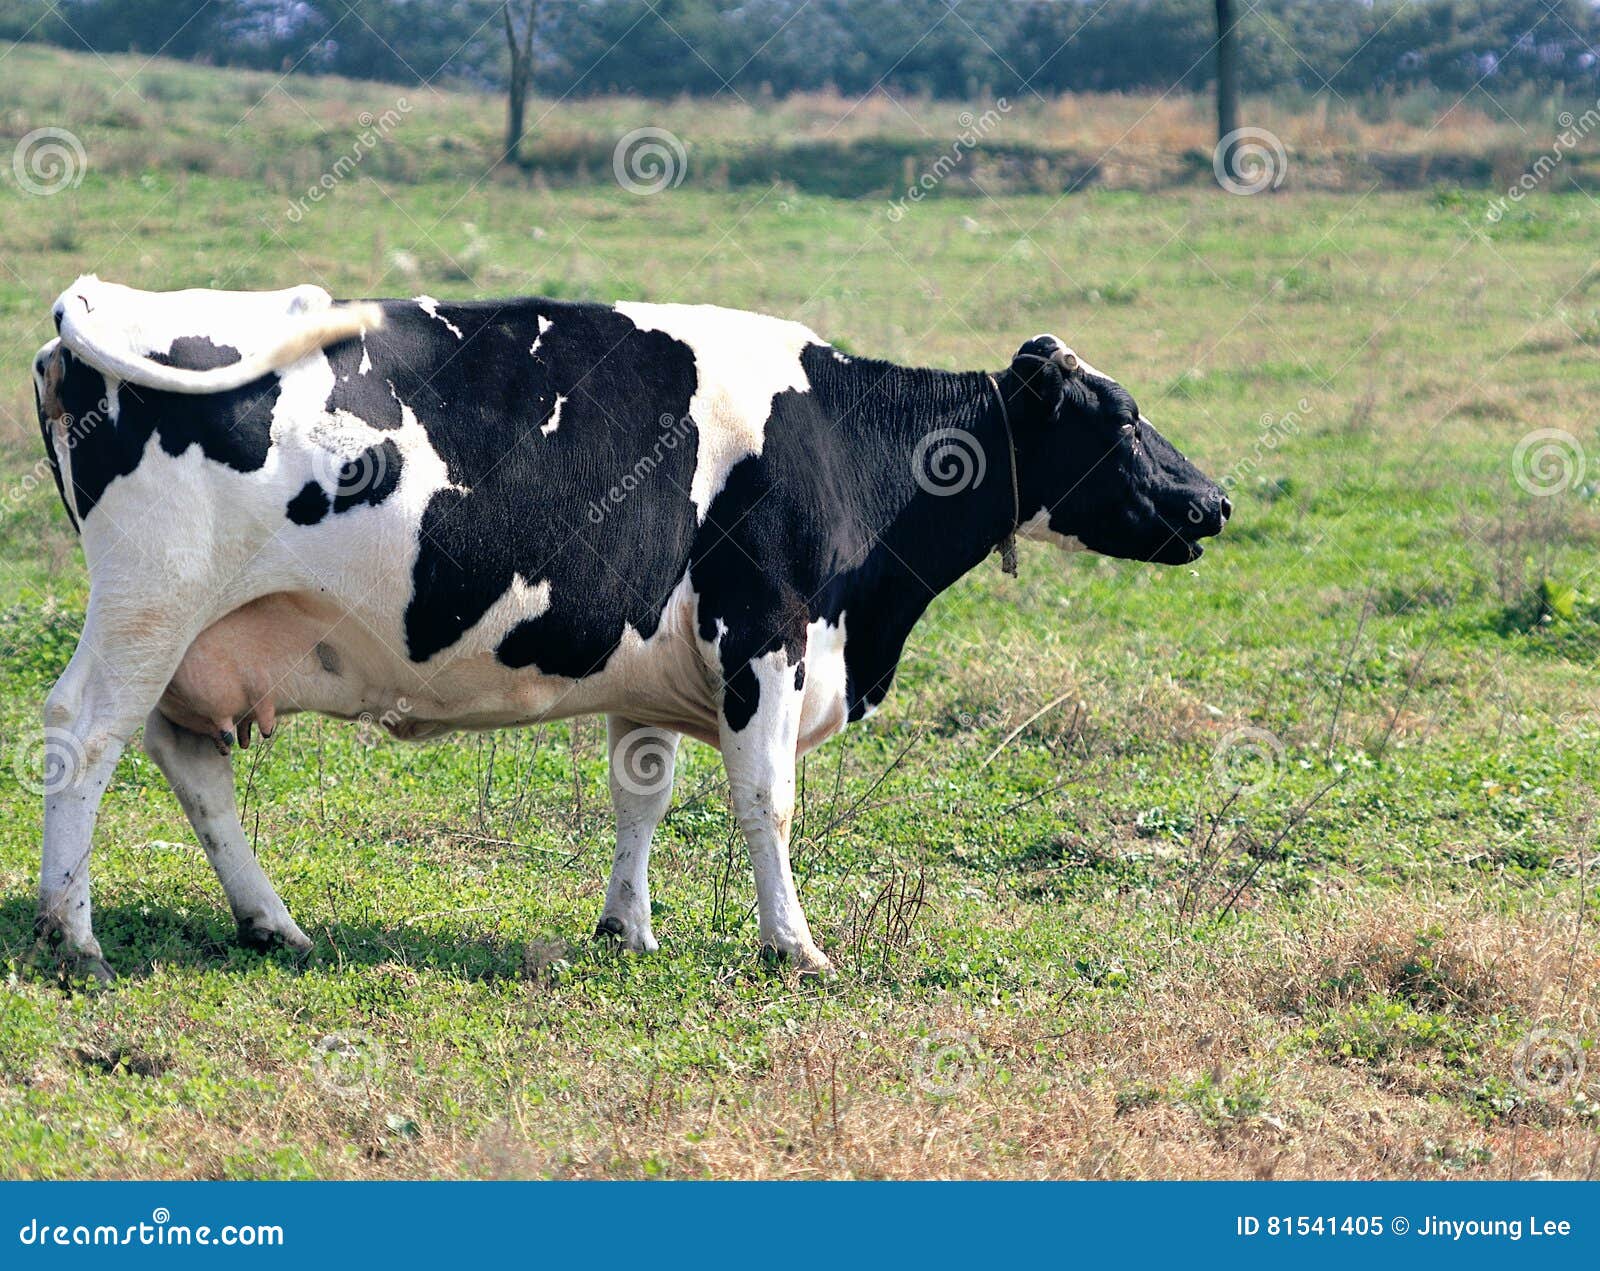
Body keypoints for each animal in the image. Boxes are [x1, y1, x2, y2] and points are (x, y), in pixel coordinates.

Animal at [30, 275, 1229, 981]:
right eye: (1122, 421)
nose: (1213, 501)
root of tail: (104, 305)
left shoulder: (655, 666)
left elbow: (640, 792)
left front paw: (625, 928)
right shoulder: (767, 633)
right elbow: (767, 801)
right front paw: (794, 945)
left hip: (197, 636)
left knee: (190, 762)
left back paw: (272, 923)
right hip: (150, 601)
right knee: (82, 737)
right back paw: (73, 933)